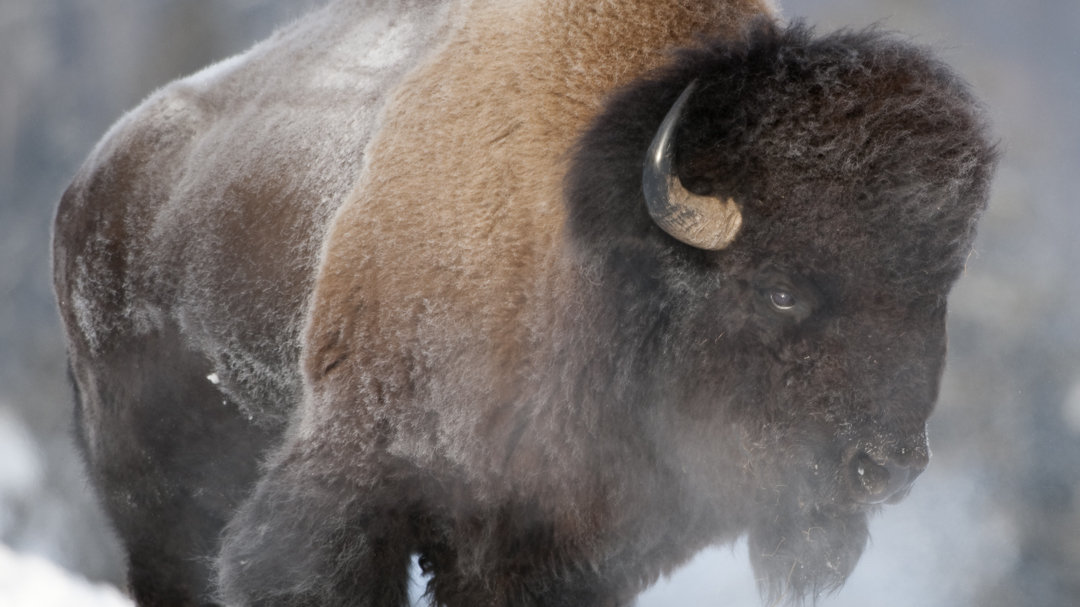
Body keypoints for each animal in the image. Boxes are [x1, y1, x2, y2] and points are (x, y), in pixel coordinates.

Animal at [52, 0, 996, 605]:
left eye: (934, 295)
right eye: (781, 289)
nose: (886, 468)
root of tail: (93, 179)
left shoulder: (558, 549)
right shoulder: (358, 487)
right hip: (155, 494)